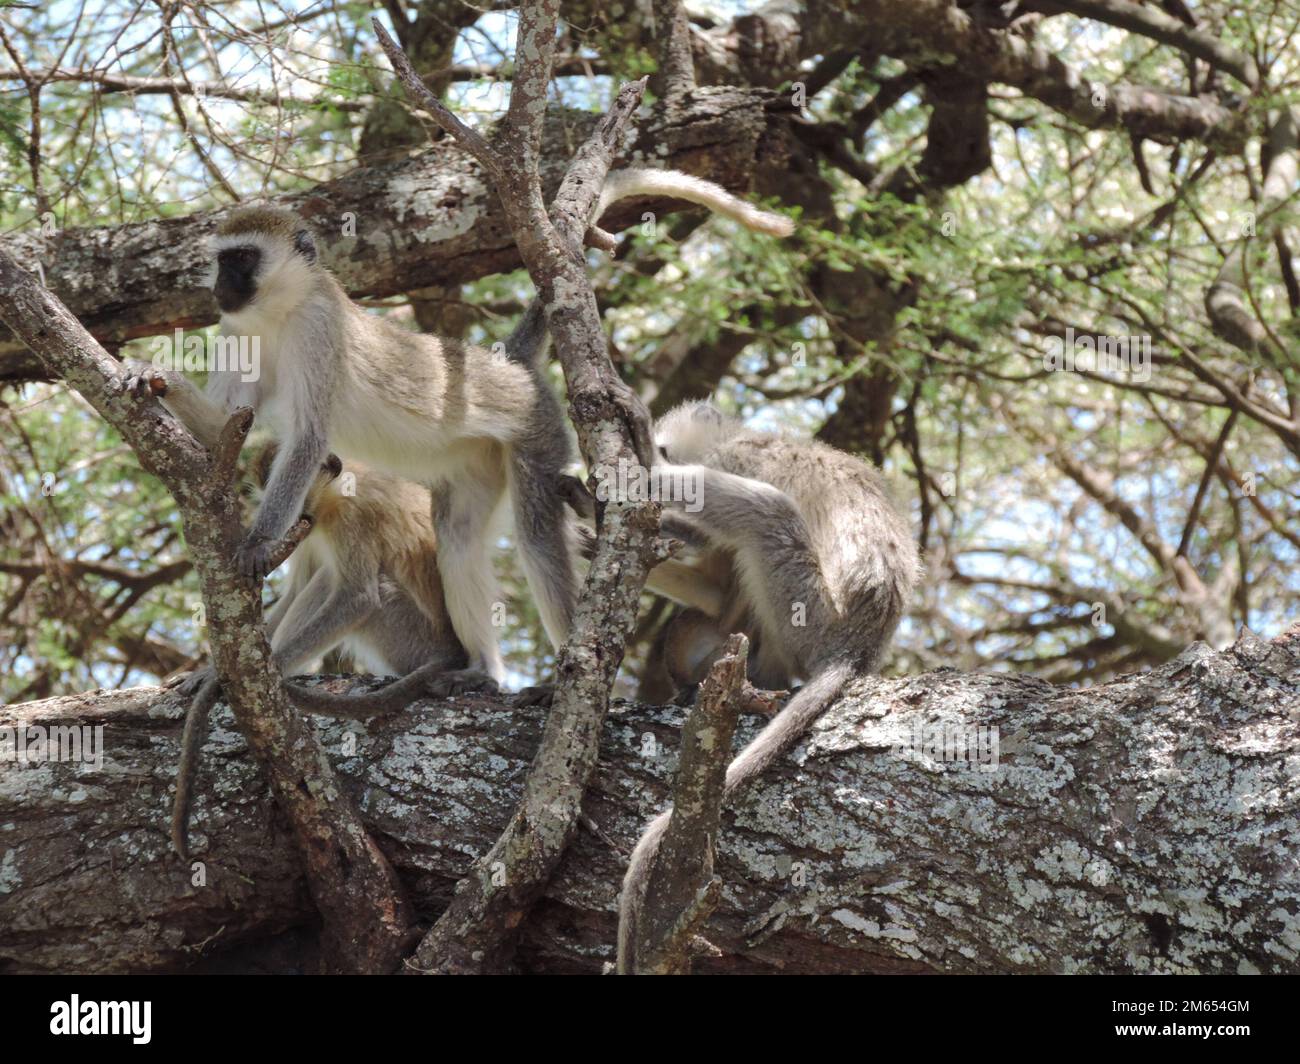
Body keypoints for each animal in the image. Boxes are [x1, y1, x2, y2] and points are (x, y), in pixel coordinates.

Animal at [615, 400, 920, 972]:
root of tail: (859, 645)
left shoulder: (733, 458)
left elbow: (698, 513)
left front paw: (641, 461)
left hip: (808, 611)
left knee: (767, 512)